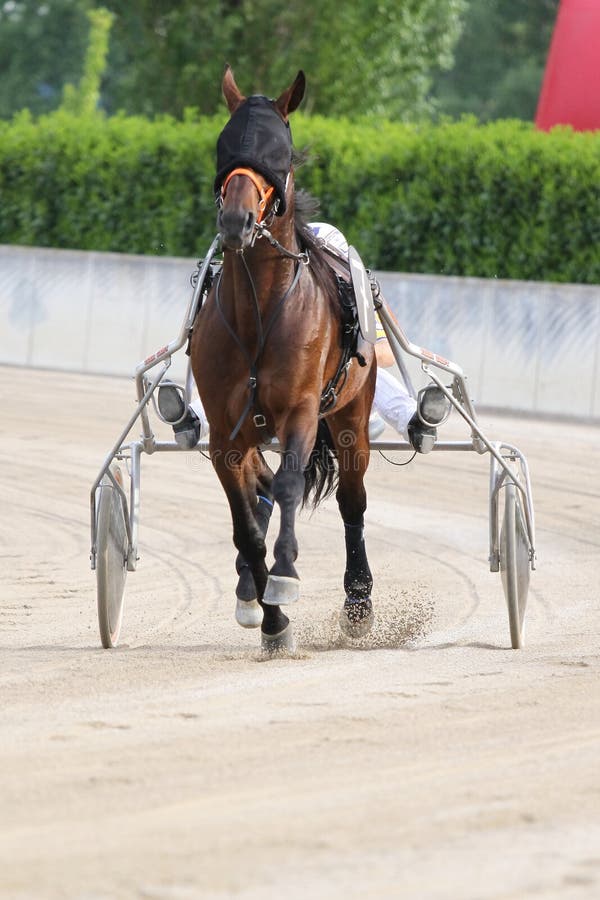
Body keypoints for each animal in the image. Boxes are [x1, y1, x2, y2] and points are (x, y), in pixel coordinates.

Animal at [190, 67, 376, 651]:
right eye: (228, 144)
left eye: (279, 152)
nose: (236, 219)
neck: (258, 313)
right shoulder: (225, 433)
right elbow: (245, 524)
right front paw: (271, 619)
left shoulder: (300, 412)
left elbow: (293, 487)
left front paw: (286, 576)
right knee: (261, 487)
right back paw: (250, 587)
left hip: (350, 417)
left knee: (351, 501)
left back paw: (358, 602)